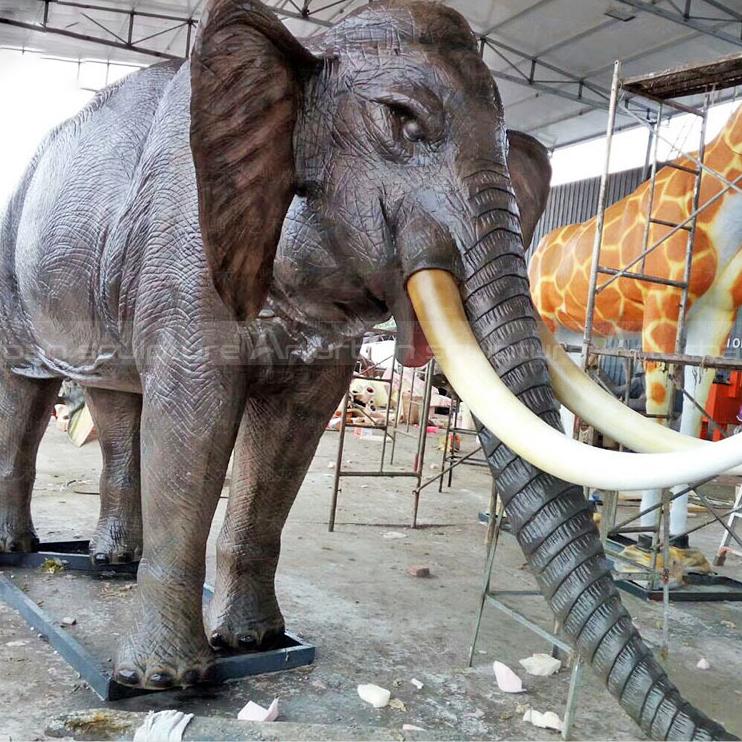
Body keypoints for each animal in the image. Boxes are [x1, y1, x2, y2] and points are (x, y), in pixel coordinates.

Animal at [1, 0, 740, 737]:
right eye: (400, 119)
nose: (711, 724)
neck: (308, 47)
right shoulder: (184, 247)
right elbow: (196, 417)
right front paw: (164, 683)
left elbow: (295, 425)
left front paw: (256, 642)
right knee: (27, 395)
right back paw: (20, 553)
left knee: (111, 400)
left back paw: (109, 564)